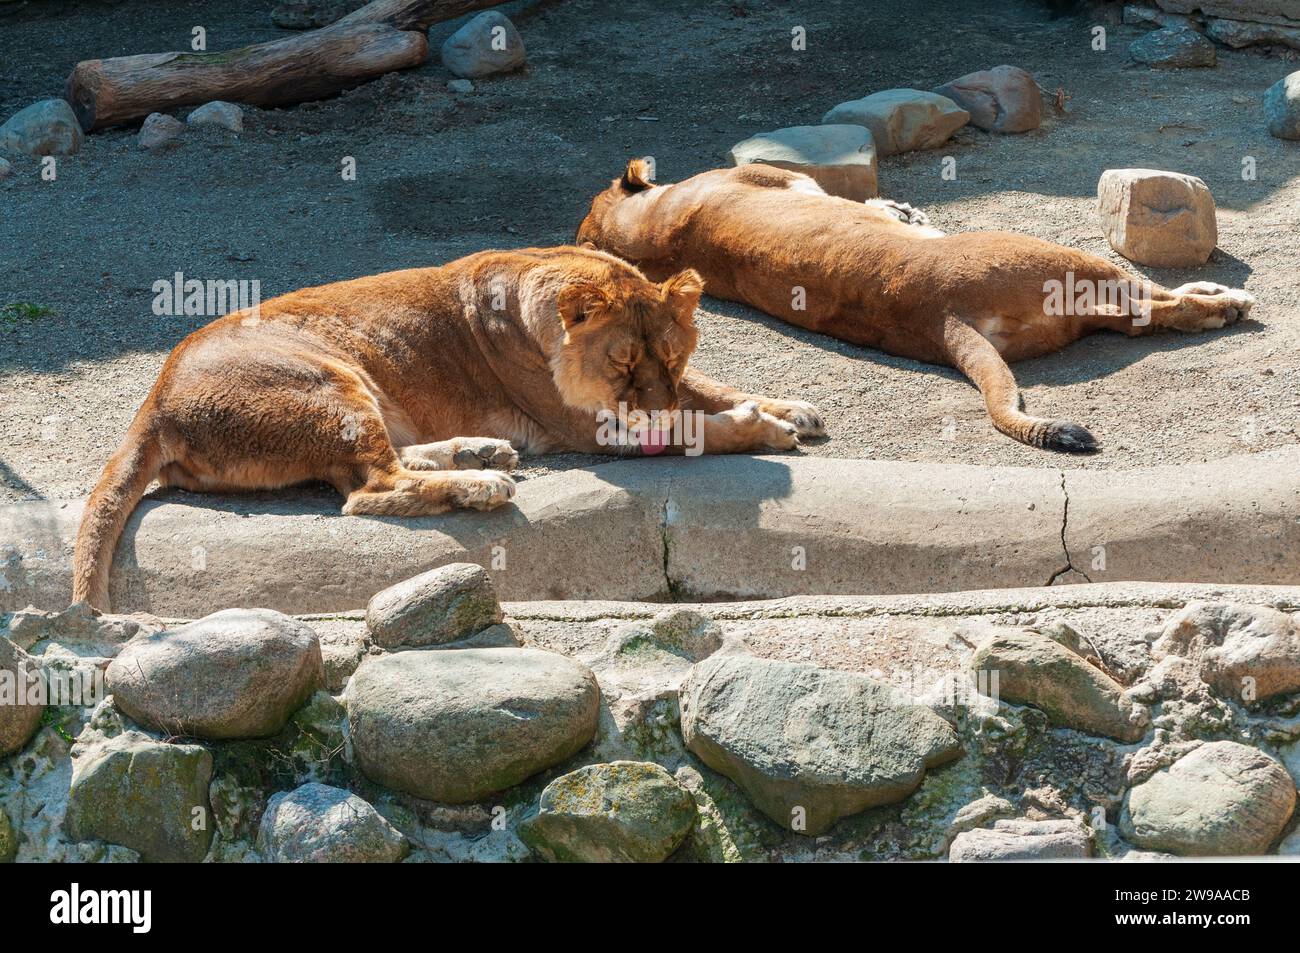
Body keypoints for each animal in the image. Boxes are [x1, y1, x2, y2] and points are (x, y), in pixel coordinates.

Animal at [72, 246, 824, 610]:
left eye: (670, 354)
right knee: (371, 490)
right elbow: (699, 425)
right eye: (621, 363)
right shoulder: (590, 427)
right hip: (329, 380)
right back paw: (484, 482)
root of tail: (153, 399)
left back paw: (479, 450)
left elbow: (709, 390)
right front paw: (759, 430)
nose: (654, 402)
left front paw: (789, 407)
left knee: (385, 467)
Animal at [577, 160, 1256, 452]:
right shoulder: (790, 178)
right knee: (1155, 306)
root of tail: (940, 316)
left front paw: (902, 210)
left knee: (1139, 317)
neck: (646, 226)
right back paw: (1224, 301)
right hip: (1061, 258)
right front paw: (901, 210)